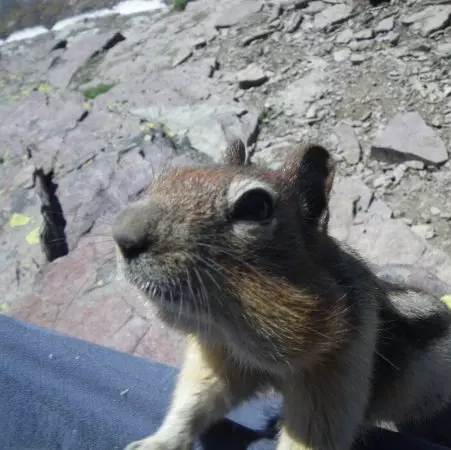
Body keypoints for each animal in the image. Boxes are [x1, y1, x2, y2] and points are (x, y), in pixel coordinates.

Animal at [112, 141, 451, 450]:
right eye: (169, 177)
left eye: (254, 206)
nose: (122, 237)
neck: (237, 330)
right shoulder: (223, 356)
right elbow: (198, 397)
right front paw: (157, 442)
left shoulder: (336, 369)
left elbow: (317, 435)